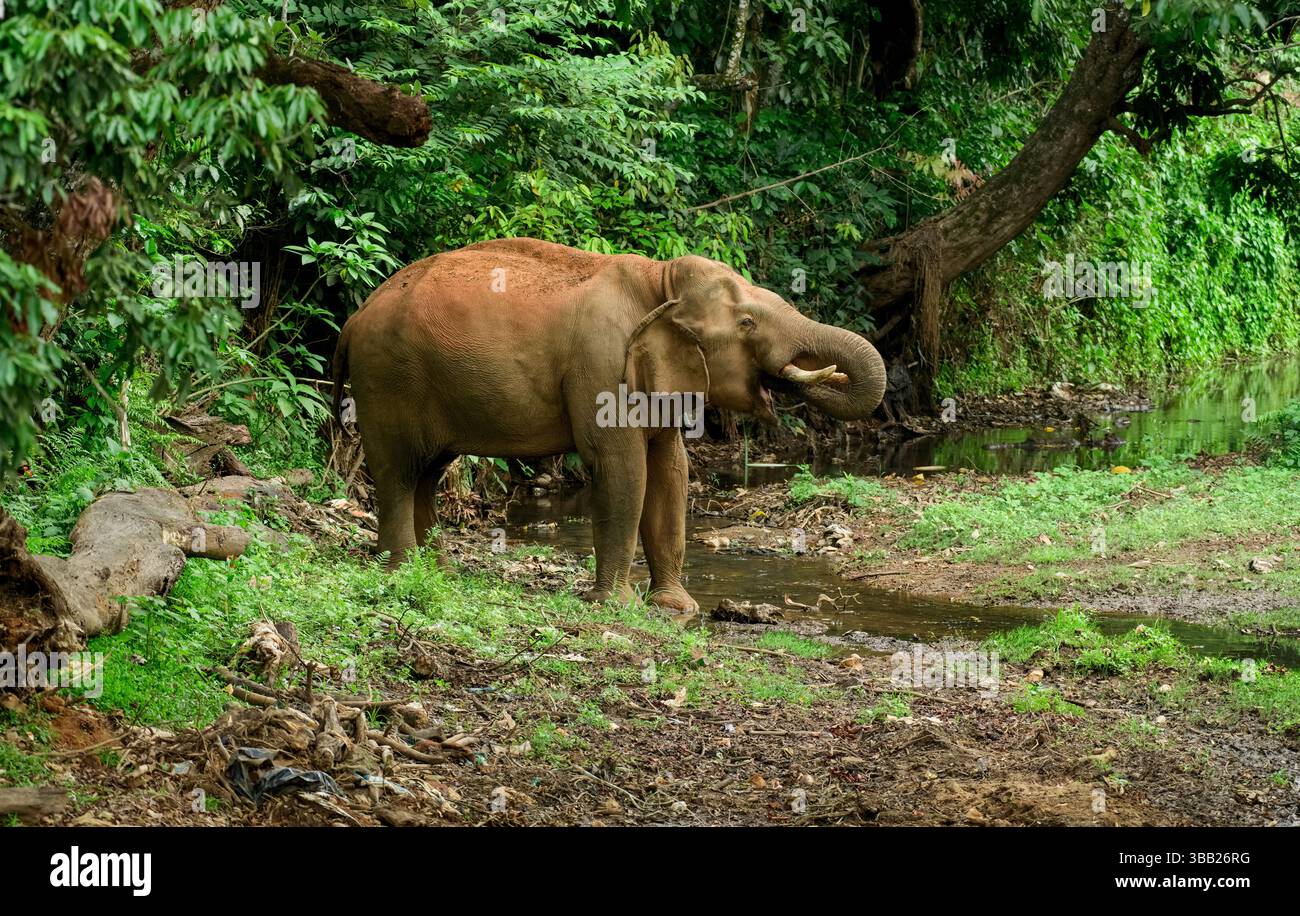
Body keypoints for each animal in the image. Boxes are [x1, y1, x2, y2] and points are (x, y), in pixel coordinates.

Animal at [332, 238, 887, 613]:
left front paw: (675, 608)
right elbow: (623, 467)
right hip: (387, 378)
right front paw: (617, 606)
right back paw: (401, 569)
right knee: (399, 470)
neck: (658, 280)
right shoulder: (601, 365)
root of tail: (353, 319)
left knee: (429, 470)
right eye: (747, 324)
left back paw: (438, 571)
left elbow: (670, 470)